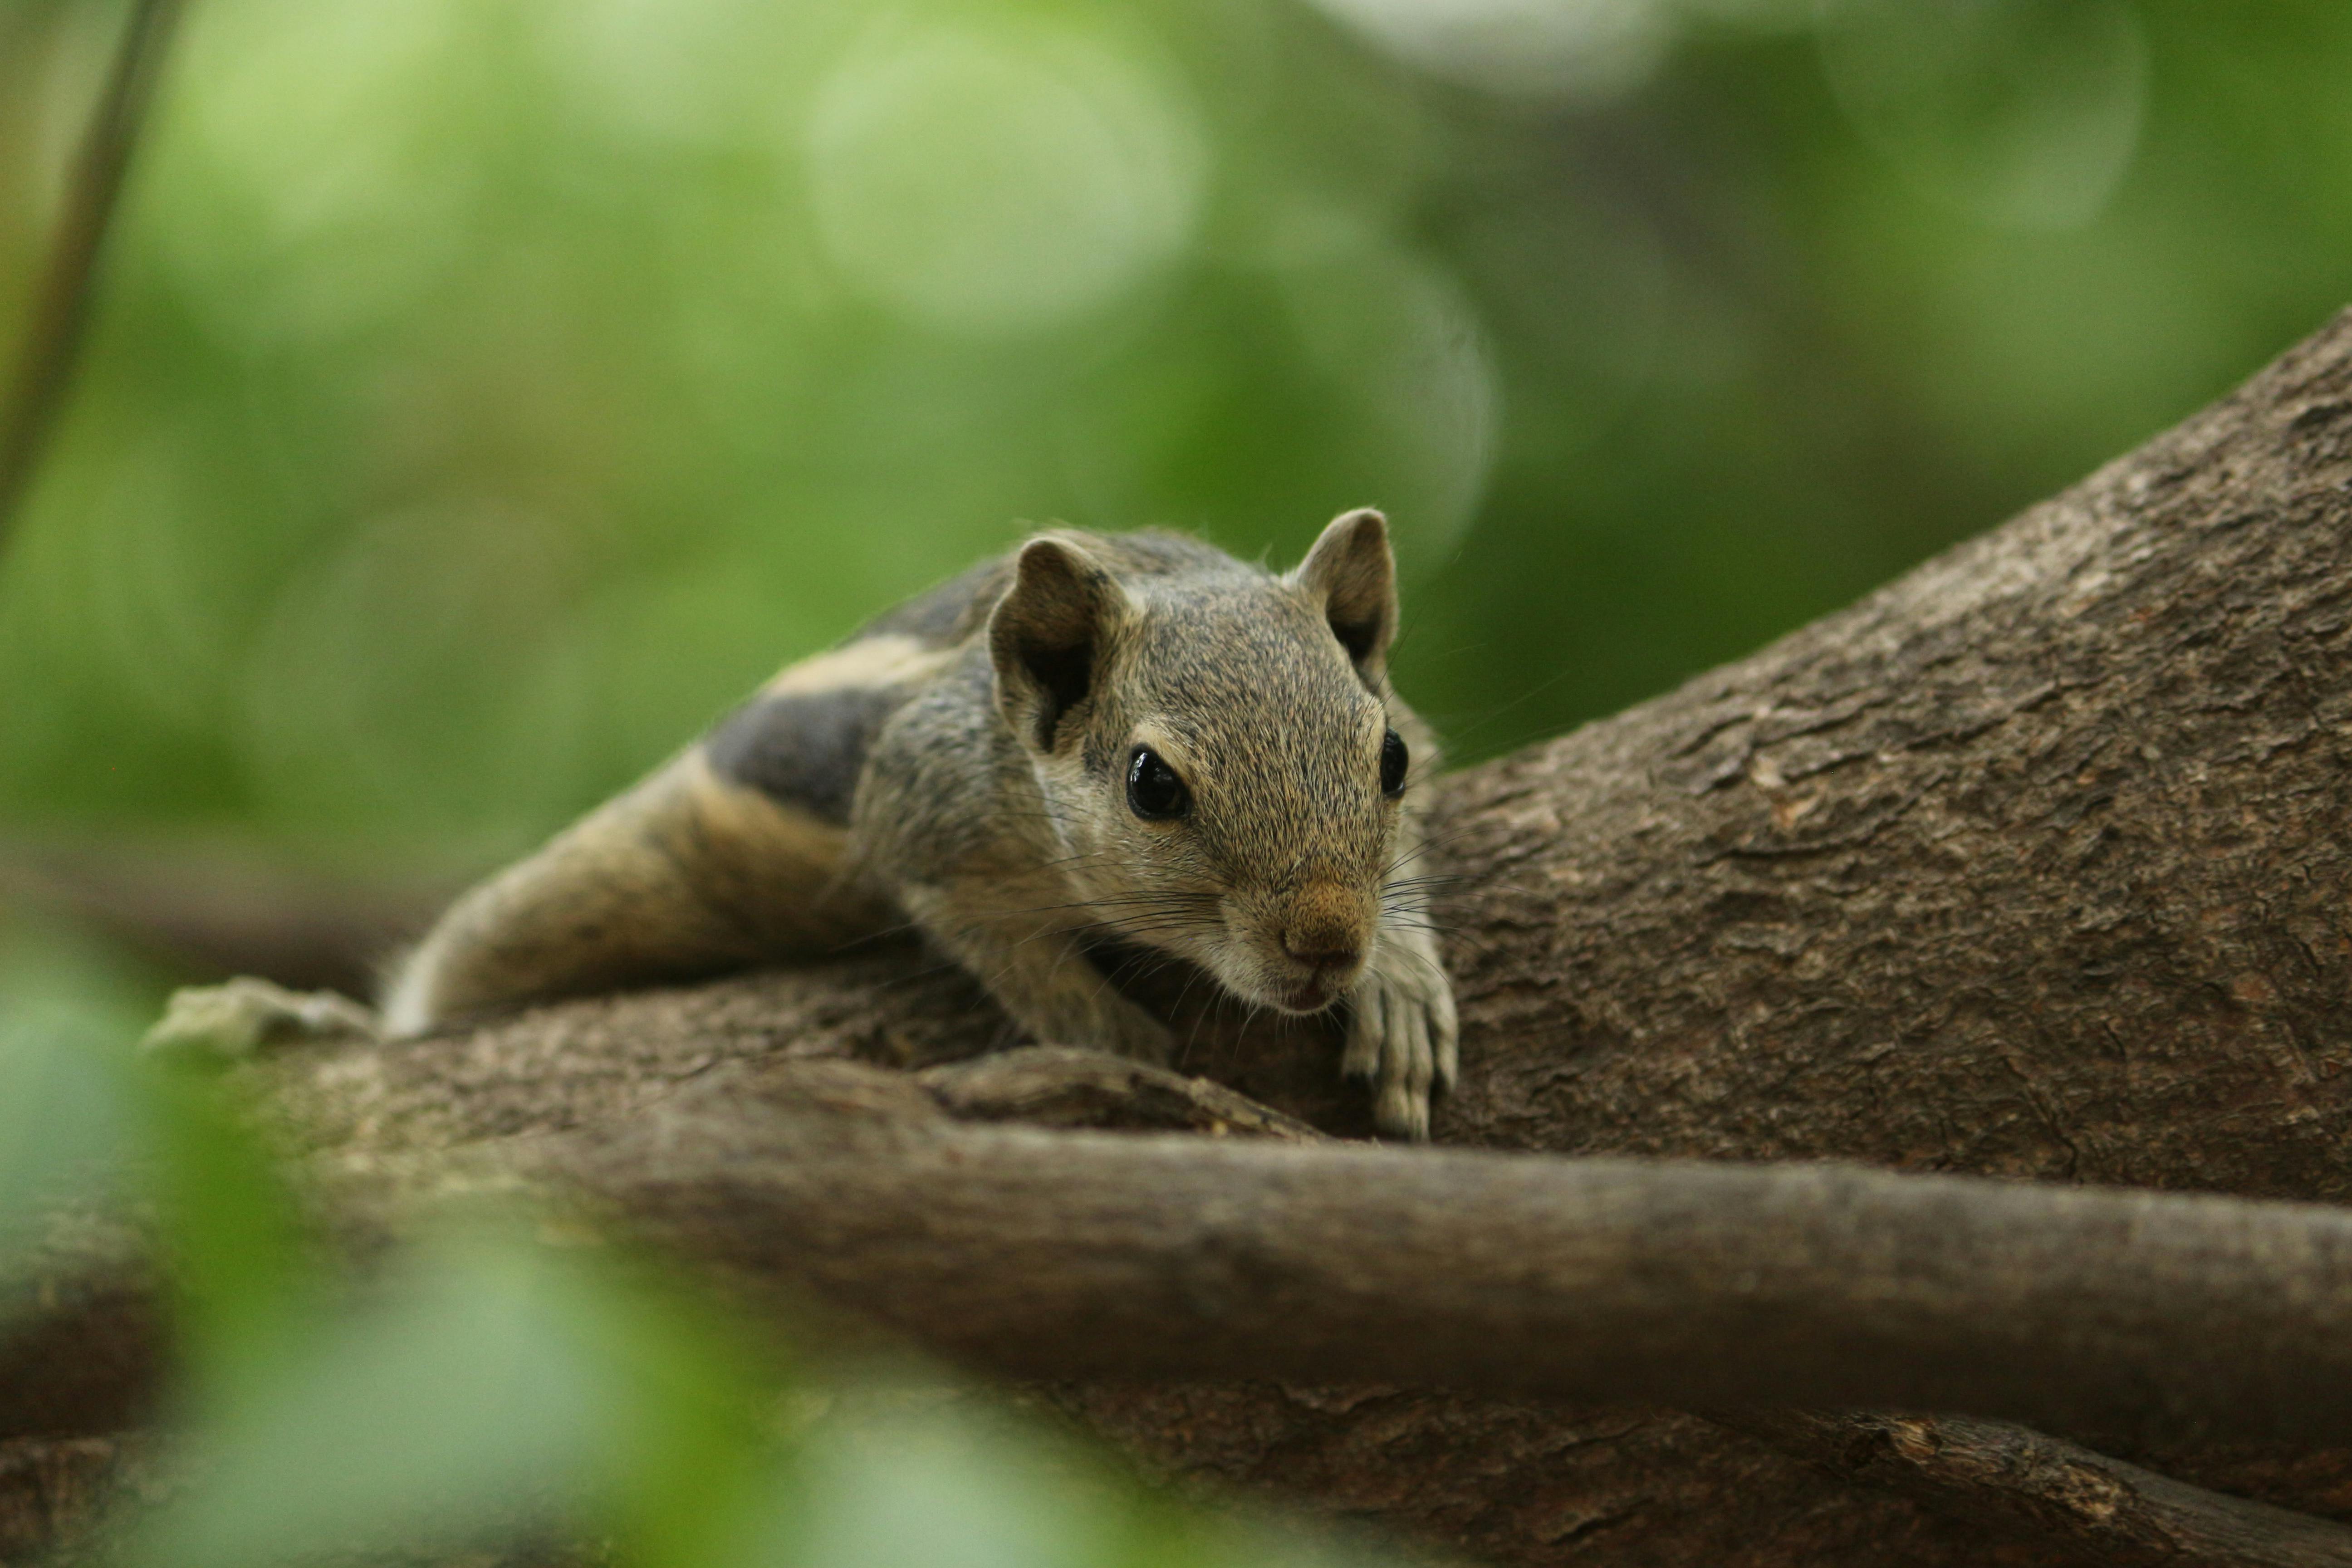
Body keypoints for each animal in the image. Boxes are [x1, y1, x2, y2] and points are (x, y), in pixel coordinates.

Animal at [379, 508, 1458, 1138]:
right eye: (1151, 784)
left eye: (1389, 760)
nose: (1326, 942)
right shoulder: (925, 812)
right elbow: (998, 942)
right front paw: (1107, 1038)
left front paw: (1399, 981)